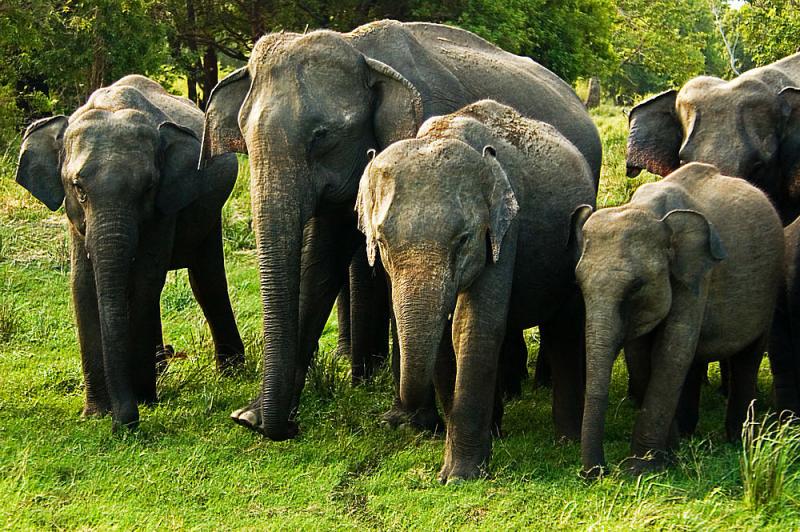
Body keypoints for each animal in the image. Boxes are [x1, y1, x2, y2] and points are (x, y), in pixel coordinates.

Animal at [15, 75, 245, 430]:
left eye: (147, 189)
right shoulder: (74, 219)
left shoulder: (165, 206)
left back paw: (228, 372)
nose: (124, 423)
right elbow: (83, 285)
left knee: (206, 280)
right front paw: (96, 413)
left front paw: (142, 401)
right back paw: (161, 367)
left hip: (210, 210)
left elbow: (144, 280)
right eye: (79, 189)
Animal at [200, 19, 602, 441]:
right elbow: (319, 265)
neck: (359, 48)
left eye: (321, 135)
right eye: (244, 136)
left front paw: (411, 423)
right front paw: (253, 417)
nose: (285, 429)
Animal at [357, 100, 597, 483]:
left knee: (564, 329)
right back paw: (497, 430)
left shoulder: (505, 231)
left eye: (464, 240)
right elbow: (444, 335)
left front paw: (459, 476)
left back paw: (567, 440)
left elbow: (473, 325)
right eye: (381, 242)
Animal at [573, 162, 784, 477]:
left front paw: (641, 470)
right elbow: (642, 356)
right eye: (579, 284)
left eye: (636, 286)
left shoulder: (698, 274)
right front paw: (666, 458)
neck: (651, 212)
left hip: (770, 290)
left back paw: (739, 441)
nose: (597, 473)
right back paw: (687, 435)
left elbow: (671, 352)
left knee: (748, 357)